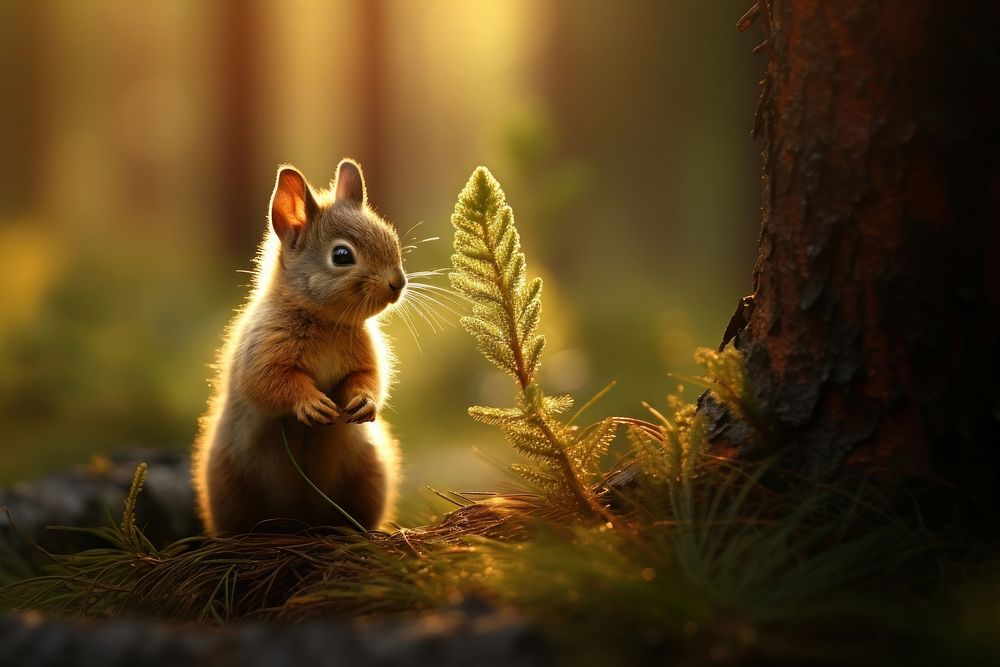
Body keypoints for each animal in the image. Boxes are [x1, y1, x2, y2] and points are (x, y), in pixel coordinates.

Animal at [192, 159, 405, 536]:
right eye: (341, 255)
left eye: (391, 236)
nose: (399, 283)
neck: (326, 323)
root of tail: (299, 522)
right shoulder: (262, 352)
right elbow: (269, 384)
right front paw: (312, 404)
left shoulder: (364, 359)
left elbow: (368, 378)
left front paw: (363, 402)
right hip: (232, 484)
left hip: (368, 475)